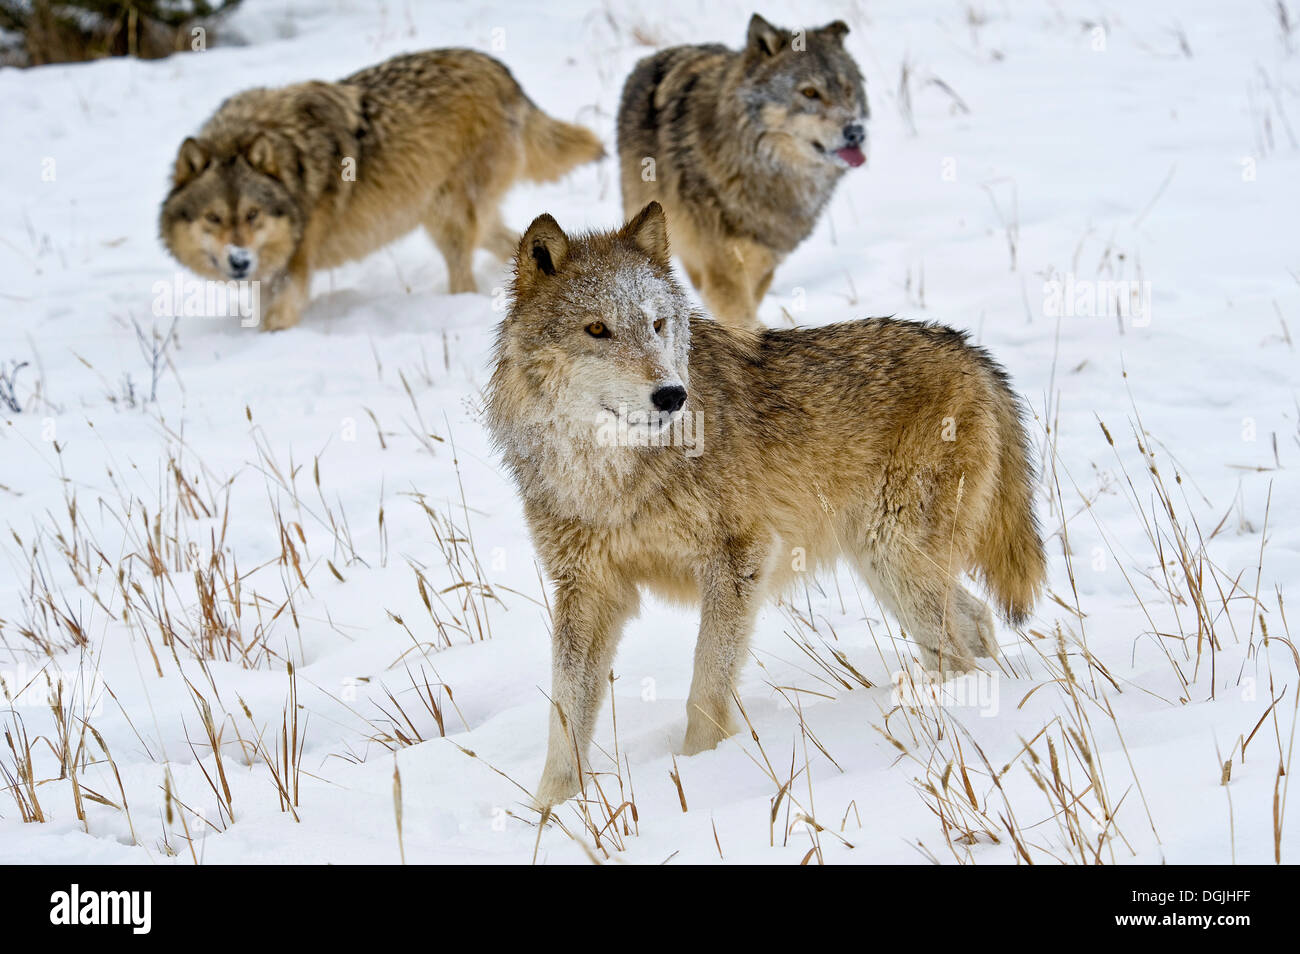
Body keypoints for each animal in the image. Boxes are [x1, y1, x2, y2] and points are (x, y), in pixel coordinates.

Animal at [160, 49, 604, 331]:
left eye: (252, 215)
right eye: (214, 218)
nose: (239, 262)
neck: (291, 167)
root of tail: (501, 71)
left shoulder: (294, 272)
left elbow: (276, 321)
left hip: (448, 221)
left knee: (464, 274)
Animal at [485, 203, 1047, 809]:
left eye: (656, 325)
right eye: (597, 329)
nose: (672, 395)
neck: (613, 477)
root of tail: (969, 349)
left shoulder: (741, 559)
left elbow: (705, 691)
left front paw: (702, 774)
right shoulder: (587, 589)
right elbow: (564, 717)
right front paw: (551, 812)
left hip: (894, 557)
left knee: (959, 643)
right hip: (886, 567)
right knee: (975, 621)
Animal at [617, 14, 869, 330]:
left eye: (847, 90)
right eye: (810, 92)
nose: (856, 132)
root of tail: (655, 56)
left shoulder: (764, 261)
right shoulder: (722, 268)